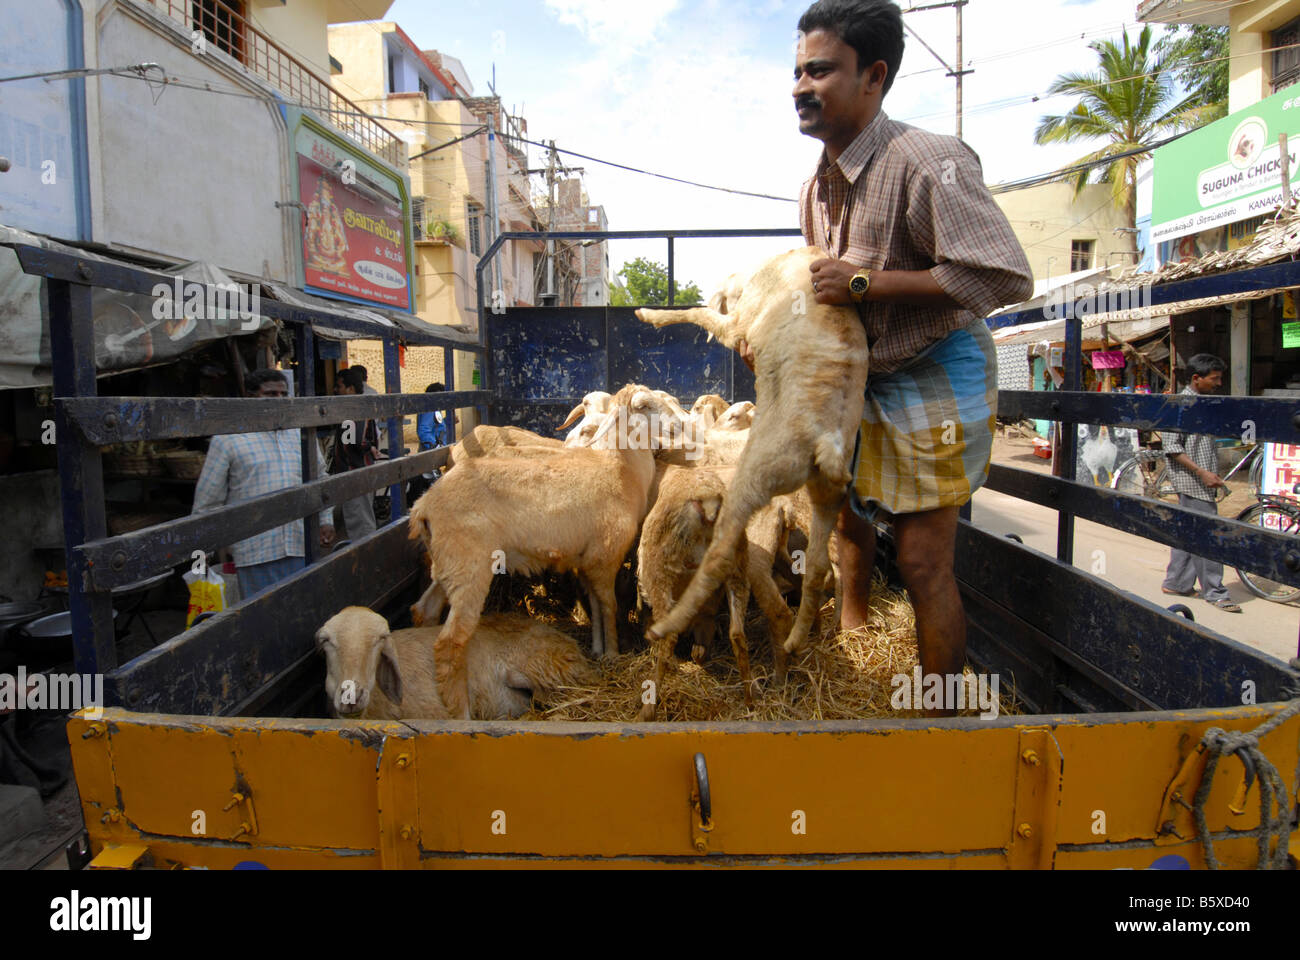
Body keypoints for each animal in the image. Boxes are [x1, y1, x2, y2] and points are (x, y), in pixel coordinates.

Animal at [635, 247, 868, 664]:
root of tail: (826, 440)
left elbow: (700, 314)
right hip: (824, 494)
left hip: (753, 482)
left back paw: (670, 625)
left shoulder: (737, 325)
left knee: (720, 560)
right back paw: (799, 638)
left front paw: (649, 315)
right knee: (820, 568)